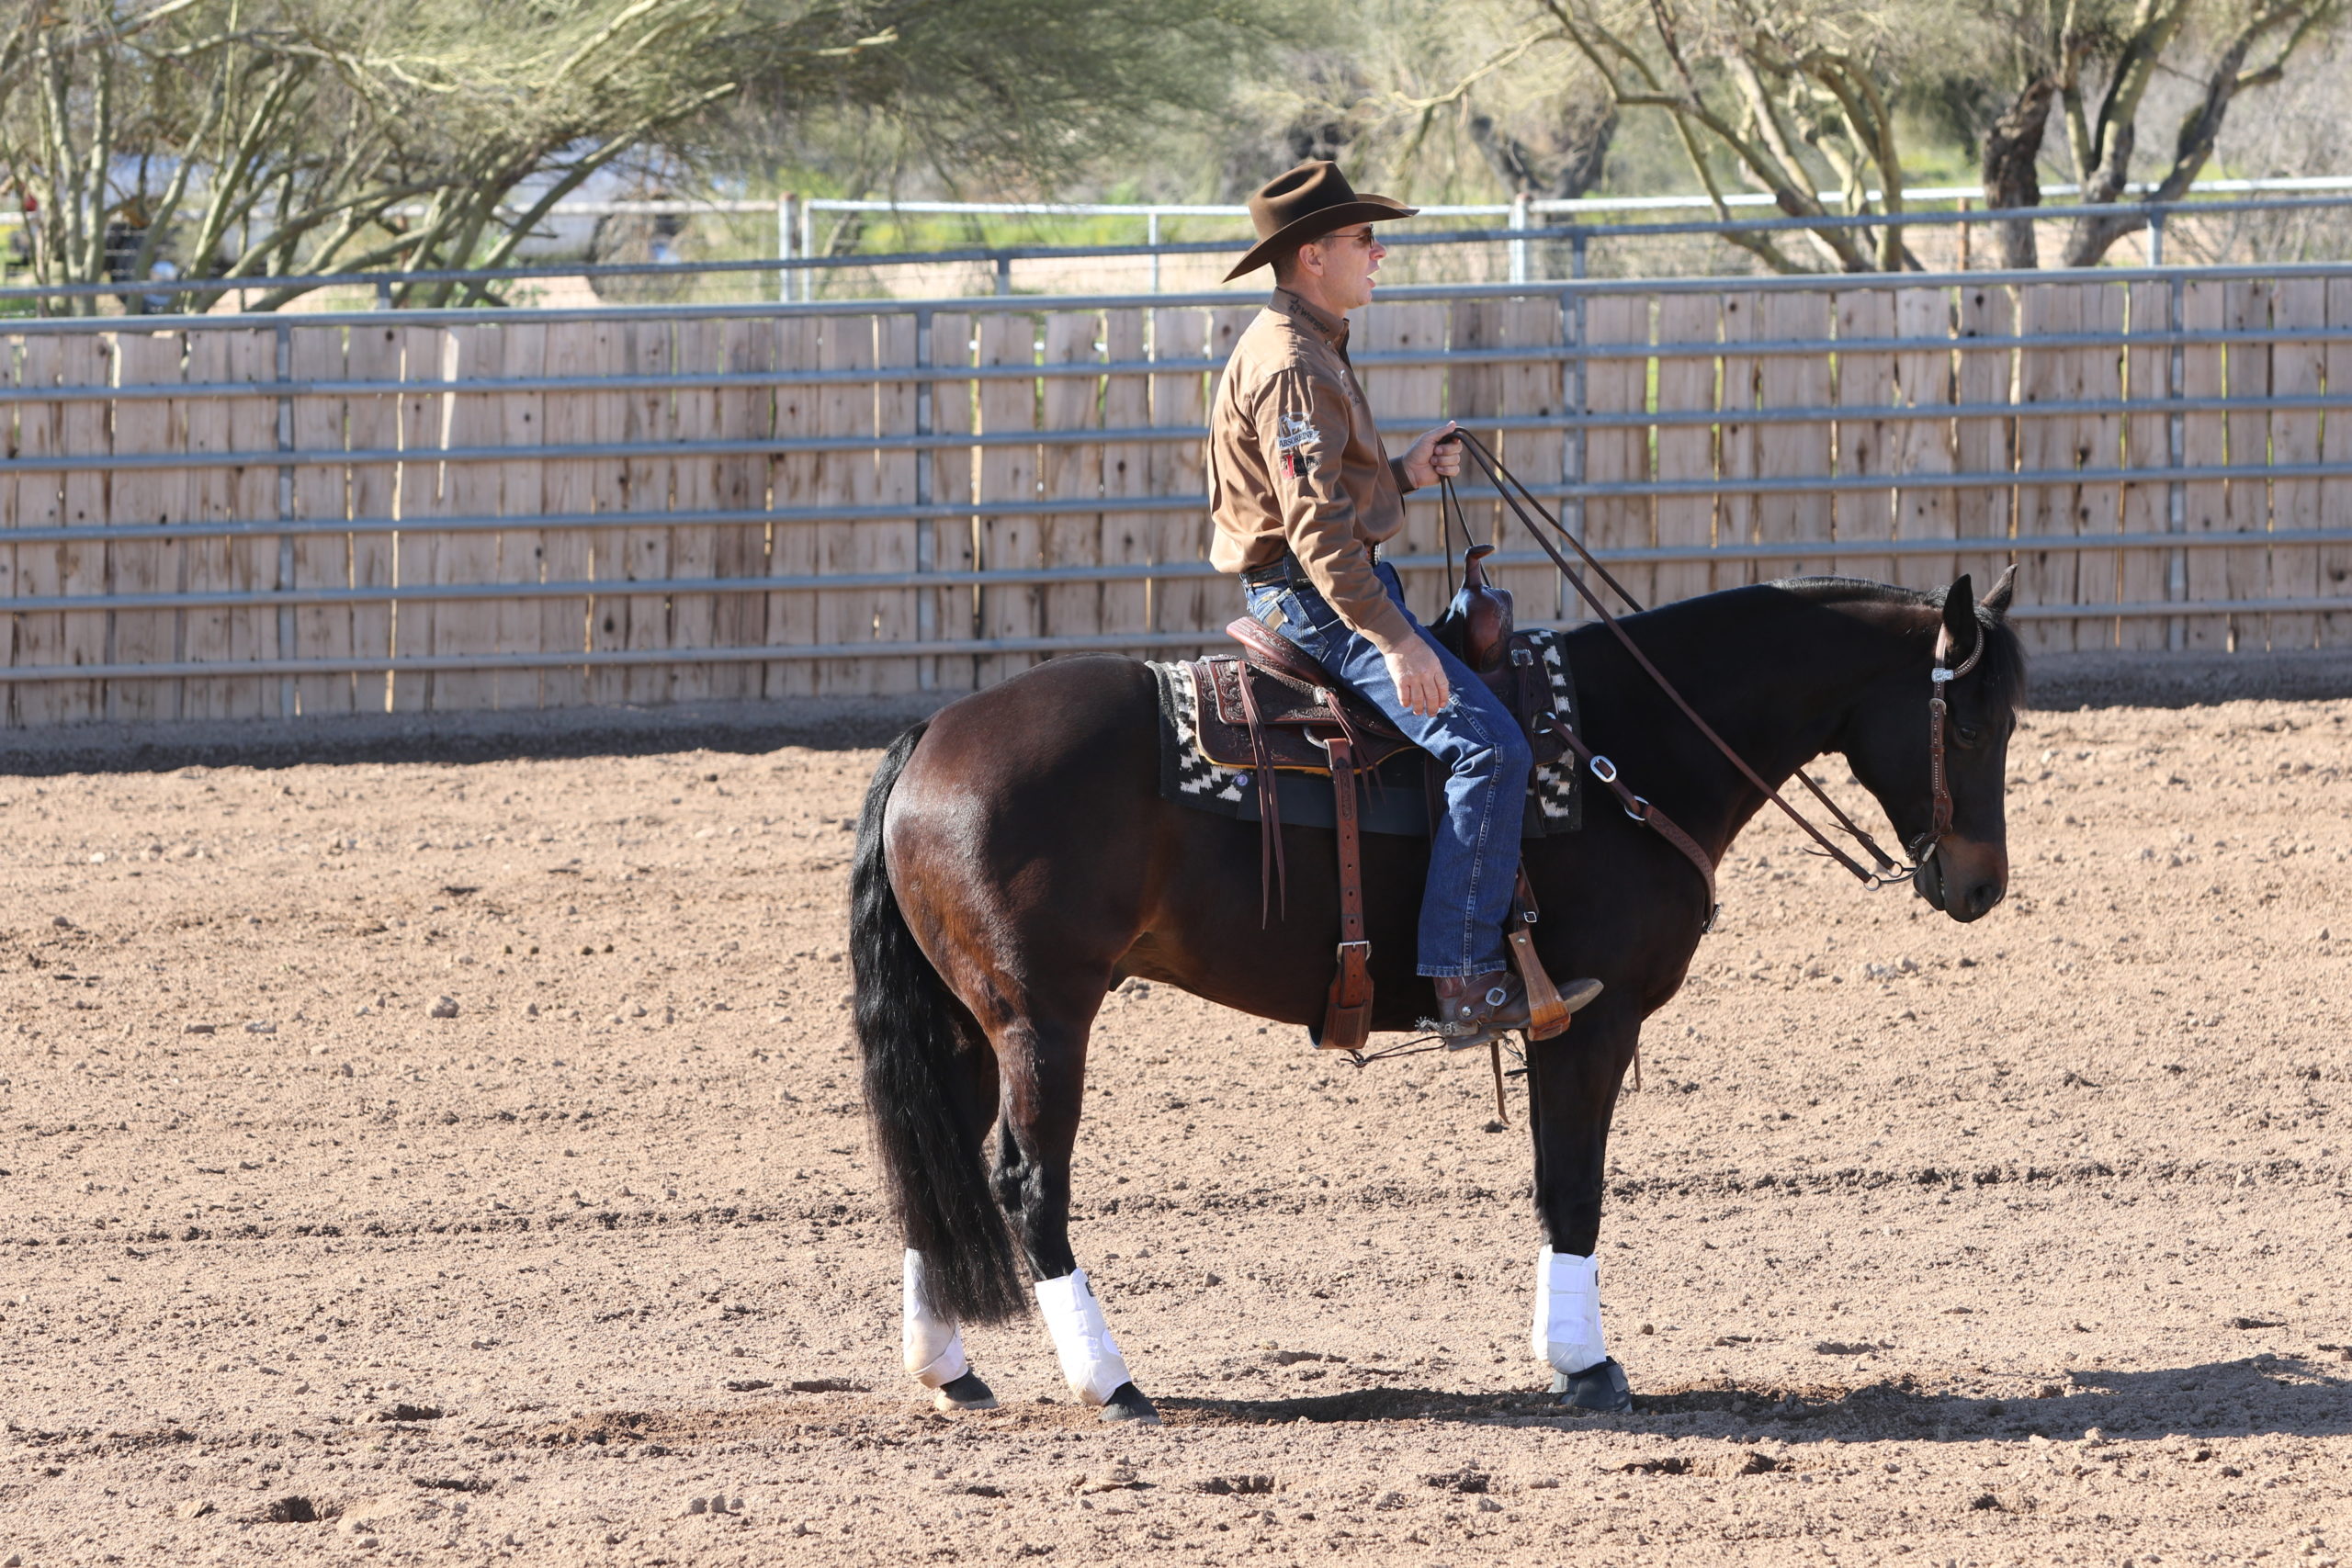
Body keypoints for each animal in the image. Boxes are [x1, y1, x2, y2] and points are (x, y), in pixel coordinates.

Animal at [850, 569, 2025, 1422]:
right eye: (1969, 727)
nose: (1979, 886)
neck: (1631, 741)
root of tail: (931, 738)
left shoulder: (1561, 1022)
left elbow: (1555, 1181)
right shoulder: (1589, 1019)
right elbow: (1573, 1186)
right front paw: (1585, 1365)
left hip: (967, 1023)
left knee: (934, 1166)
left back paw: (950, 1369)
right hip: (1041, 1020)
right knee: (1025, 1182)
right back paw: (1110, 1380)